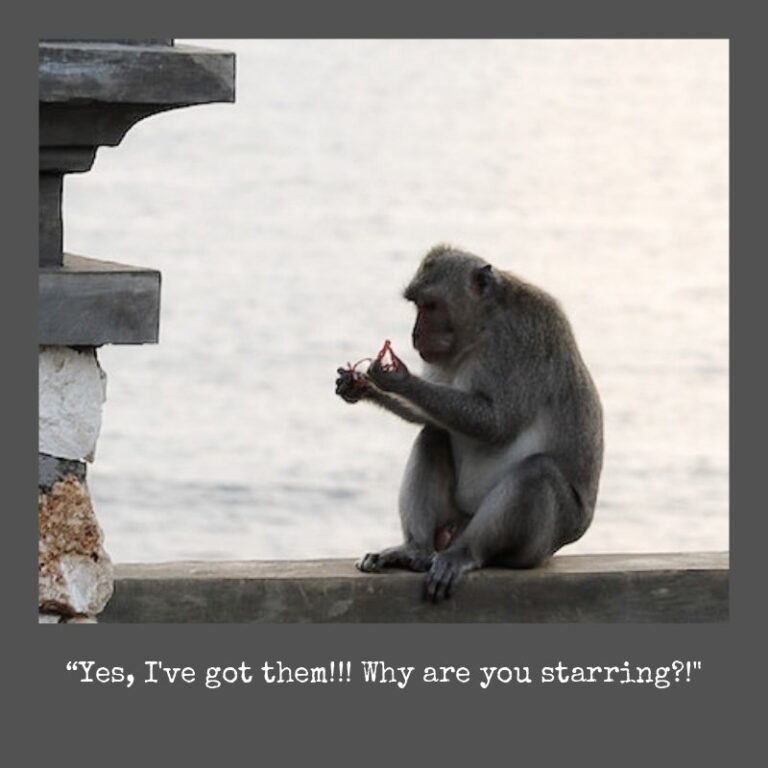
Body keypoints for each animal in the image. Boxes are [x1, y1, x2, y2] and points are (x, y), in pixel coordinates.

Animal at [335, 244, 603, 602]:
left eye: (430, 305)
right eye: (417, 305)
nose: (415, 334)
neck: (482, 328)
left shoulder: (518, 341)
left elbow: (496, 425)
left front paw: (398, 379)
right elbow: (426, 416)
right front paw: (359, 386)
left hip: (542, 541)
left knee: (537, 473)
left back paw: (466, 554)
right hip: (453, 520)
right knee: (433, 433)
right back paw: (415, 549)